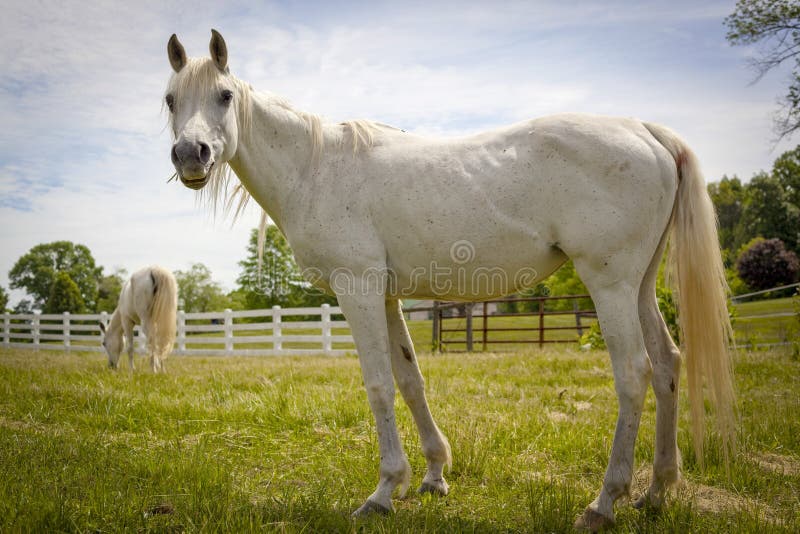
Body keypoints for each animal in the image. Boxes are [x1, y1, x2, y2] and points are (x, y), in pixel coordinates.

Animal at [163, 30, 735, 530]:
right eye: (170, 99)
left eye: (225, 95)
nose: (191, 155)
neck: (316, 167)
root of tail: (645, 130)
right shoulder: (387, 297)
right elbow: (410, 380)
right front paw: (433, 475)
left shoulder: (358, 290)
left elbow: (378, 384)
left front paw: (382, 492)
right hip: (639, 286)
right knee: (667, 364)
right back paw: (656, 492)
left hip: (610, 284)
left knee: (634, 373)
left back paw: (604, 502)